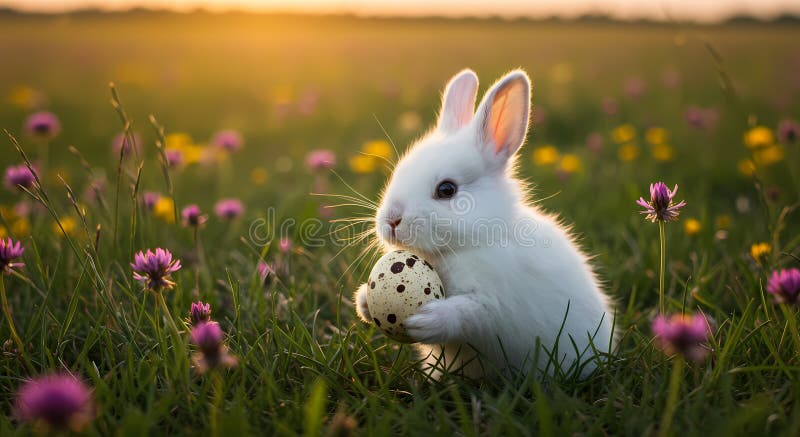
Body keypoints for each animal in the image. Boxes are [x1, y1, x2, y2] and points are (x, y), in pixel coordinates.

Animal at [354, 68, 615, 379]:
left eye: (447, 190)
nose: (391, 220)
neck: (462, 247)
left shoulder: (493, 303)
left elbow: (467, 314)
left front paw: (428, 319)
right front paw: (363, 301)